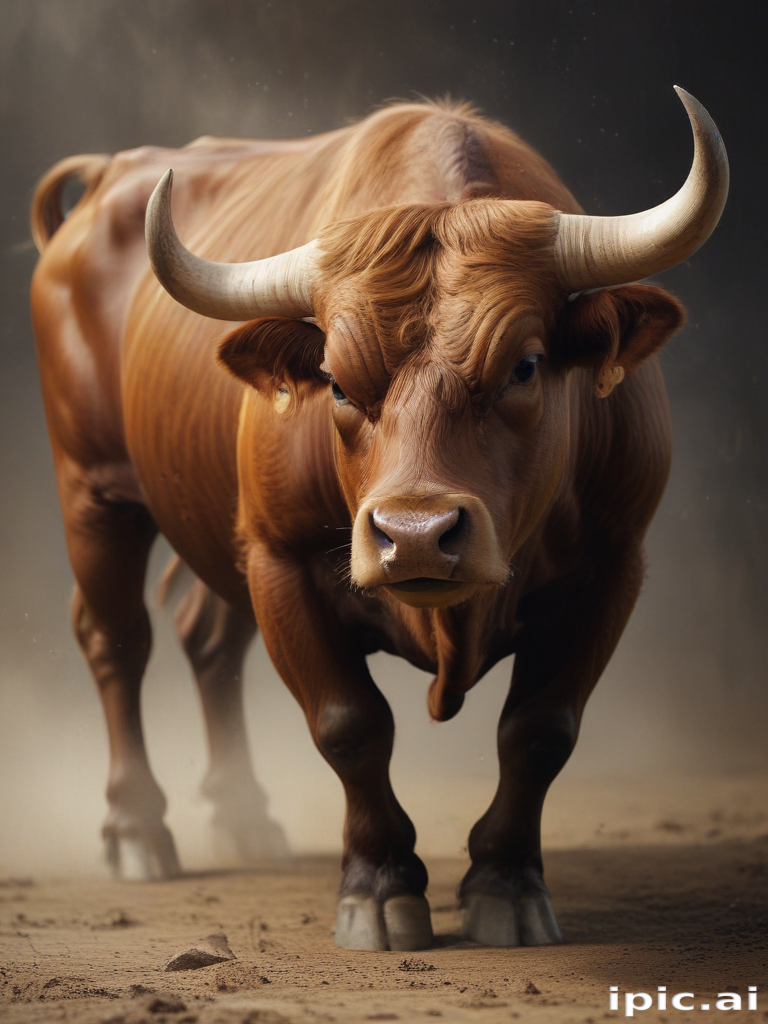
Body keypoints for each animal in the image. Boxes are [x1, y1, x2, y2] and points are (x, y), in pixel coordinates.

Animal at [30, 88, 728, 951]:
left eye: (526, 366)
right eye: (333, 379)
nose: (416, 536)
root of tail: (103, 180)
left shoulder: (612, 564)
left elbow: (540, 729)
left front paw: (505, 886)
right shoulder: (281, 558)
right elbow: (349, 724)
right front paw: (381, 889)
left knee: (205, 636)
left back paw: (243, 814)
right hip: (93, 492)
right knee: (118, 640)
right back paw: (136, 828)